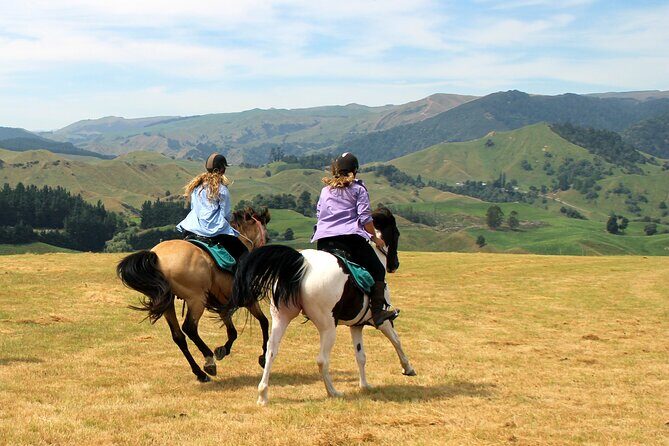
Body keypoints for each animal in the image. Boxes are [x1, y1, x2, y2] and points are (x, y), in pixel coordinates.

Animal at [117, 206, 271, 383]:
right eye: (267, 237)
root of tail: (157, 256)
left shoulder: (223, 302)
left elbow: (232, 332)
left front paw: (223, 350)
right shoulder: (247, 299)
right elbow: (264, 322)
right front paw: (263, 357)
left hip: (168, 302)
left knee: (178, 336)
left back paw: (200, 373)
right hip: (196, 299)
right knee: (189, 328)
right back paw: (209, 361)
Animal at [225, 206, 416, 405]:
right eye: (396, 233)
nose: (395, 264)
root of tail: (302, 263)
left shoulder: (356, 325)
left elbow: (360, 356)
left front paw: (365, 385)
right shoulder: (383, 321)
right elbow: (396, 341)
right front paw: (407, 368)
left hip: (281, 317)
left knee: (271, 351)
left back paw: (263, 395)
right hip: (327, 327)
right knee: (322, 360)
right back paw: (333, 392)